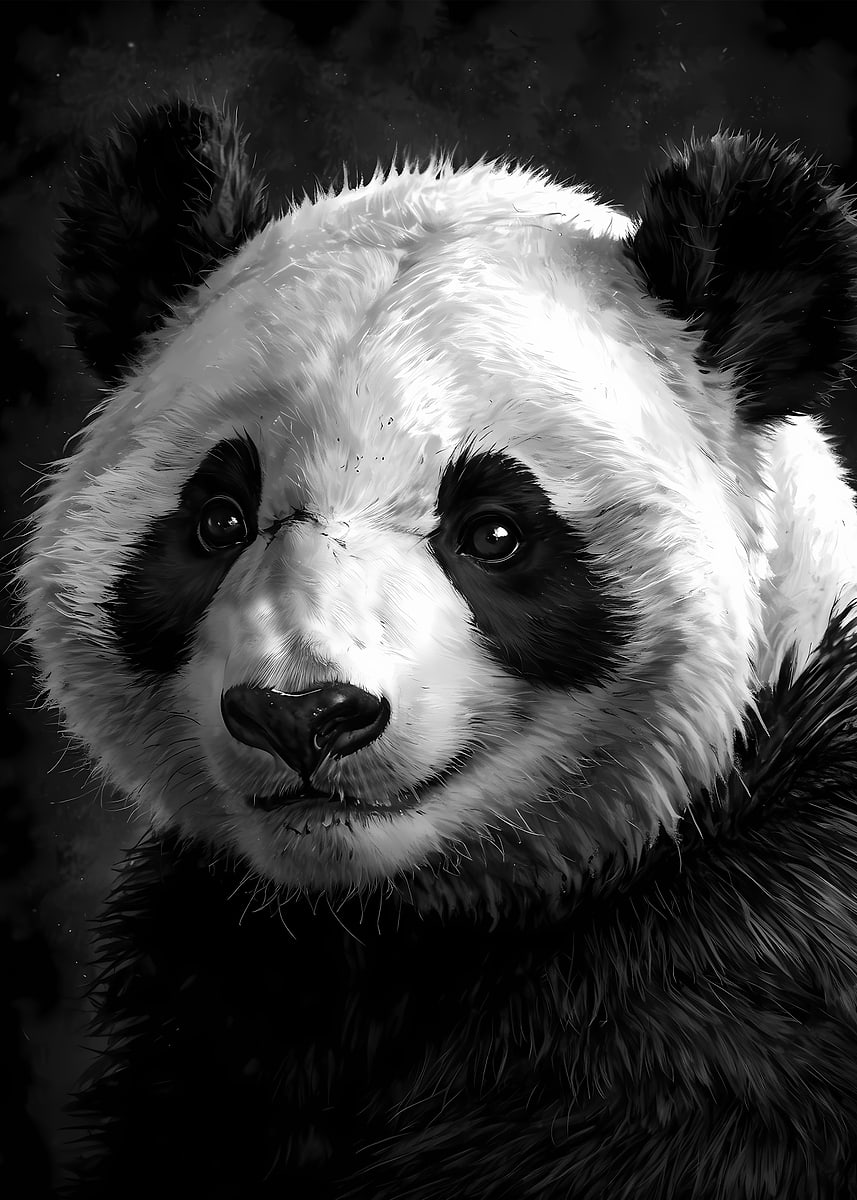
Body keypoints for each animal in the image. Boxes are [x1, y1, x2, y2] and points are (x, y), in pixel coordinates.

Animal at [18, 99, 857, 1198]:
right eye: (217, 519)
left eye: (491, 531)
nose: (303, 715)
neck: (398, 931)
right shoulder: (226, 996)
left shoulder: (748, 968)